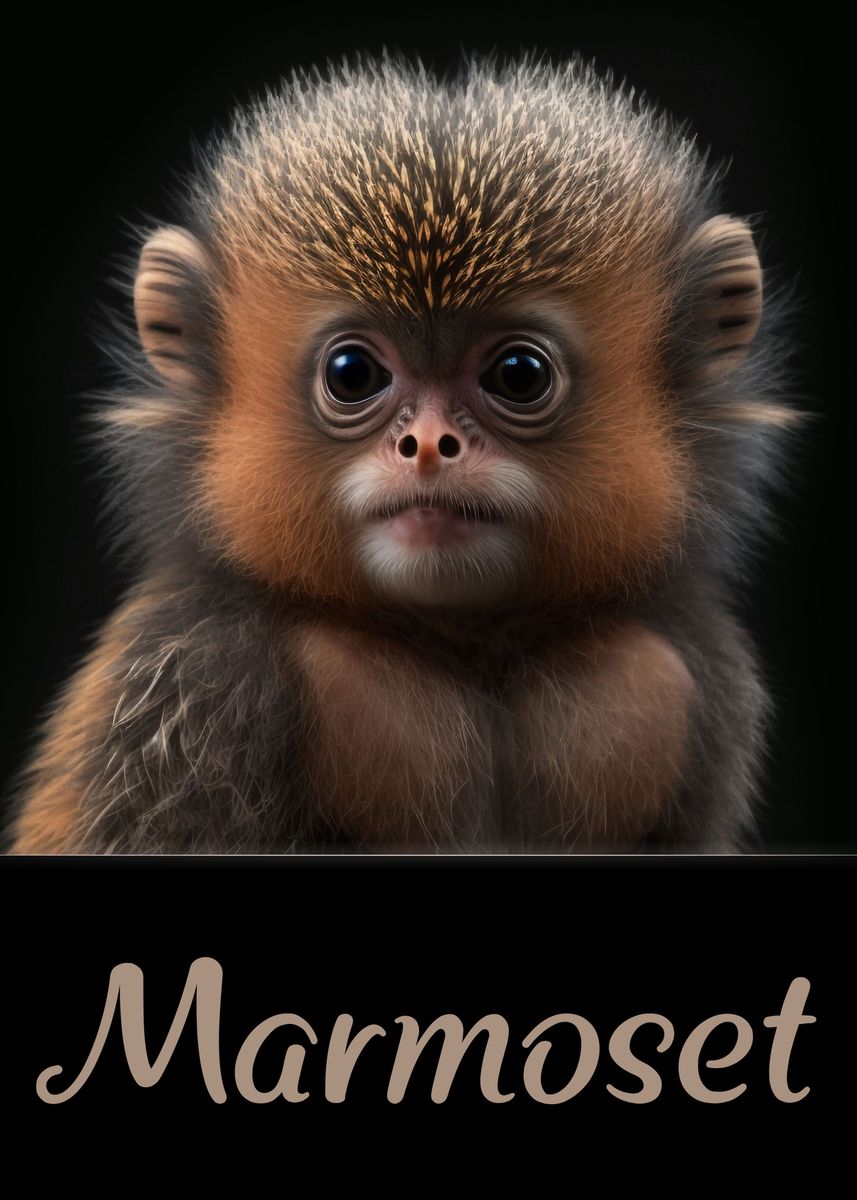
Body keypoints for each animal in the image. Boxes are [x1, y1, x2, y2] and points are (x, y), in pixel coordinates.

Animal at [6, 55, 796, 854]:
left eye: (519, 374)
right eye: (352, 373)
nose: (427, 447)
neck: (473, 652)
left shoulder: (695, 675)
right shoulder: (195, 676)